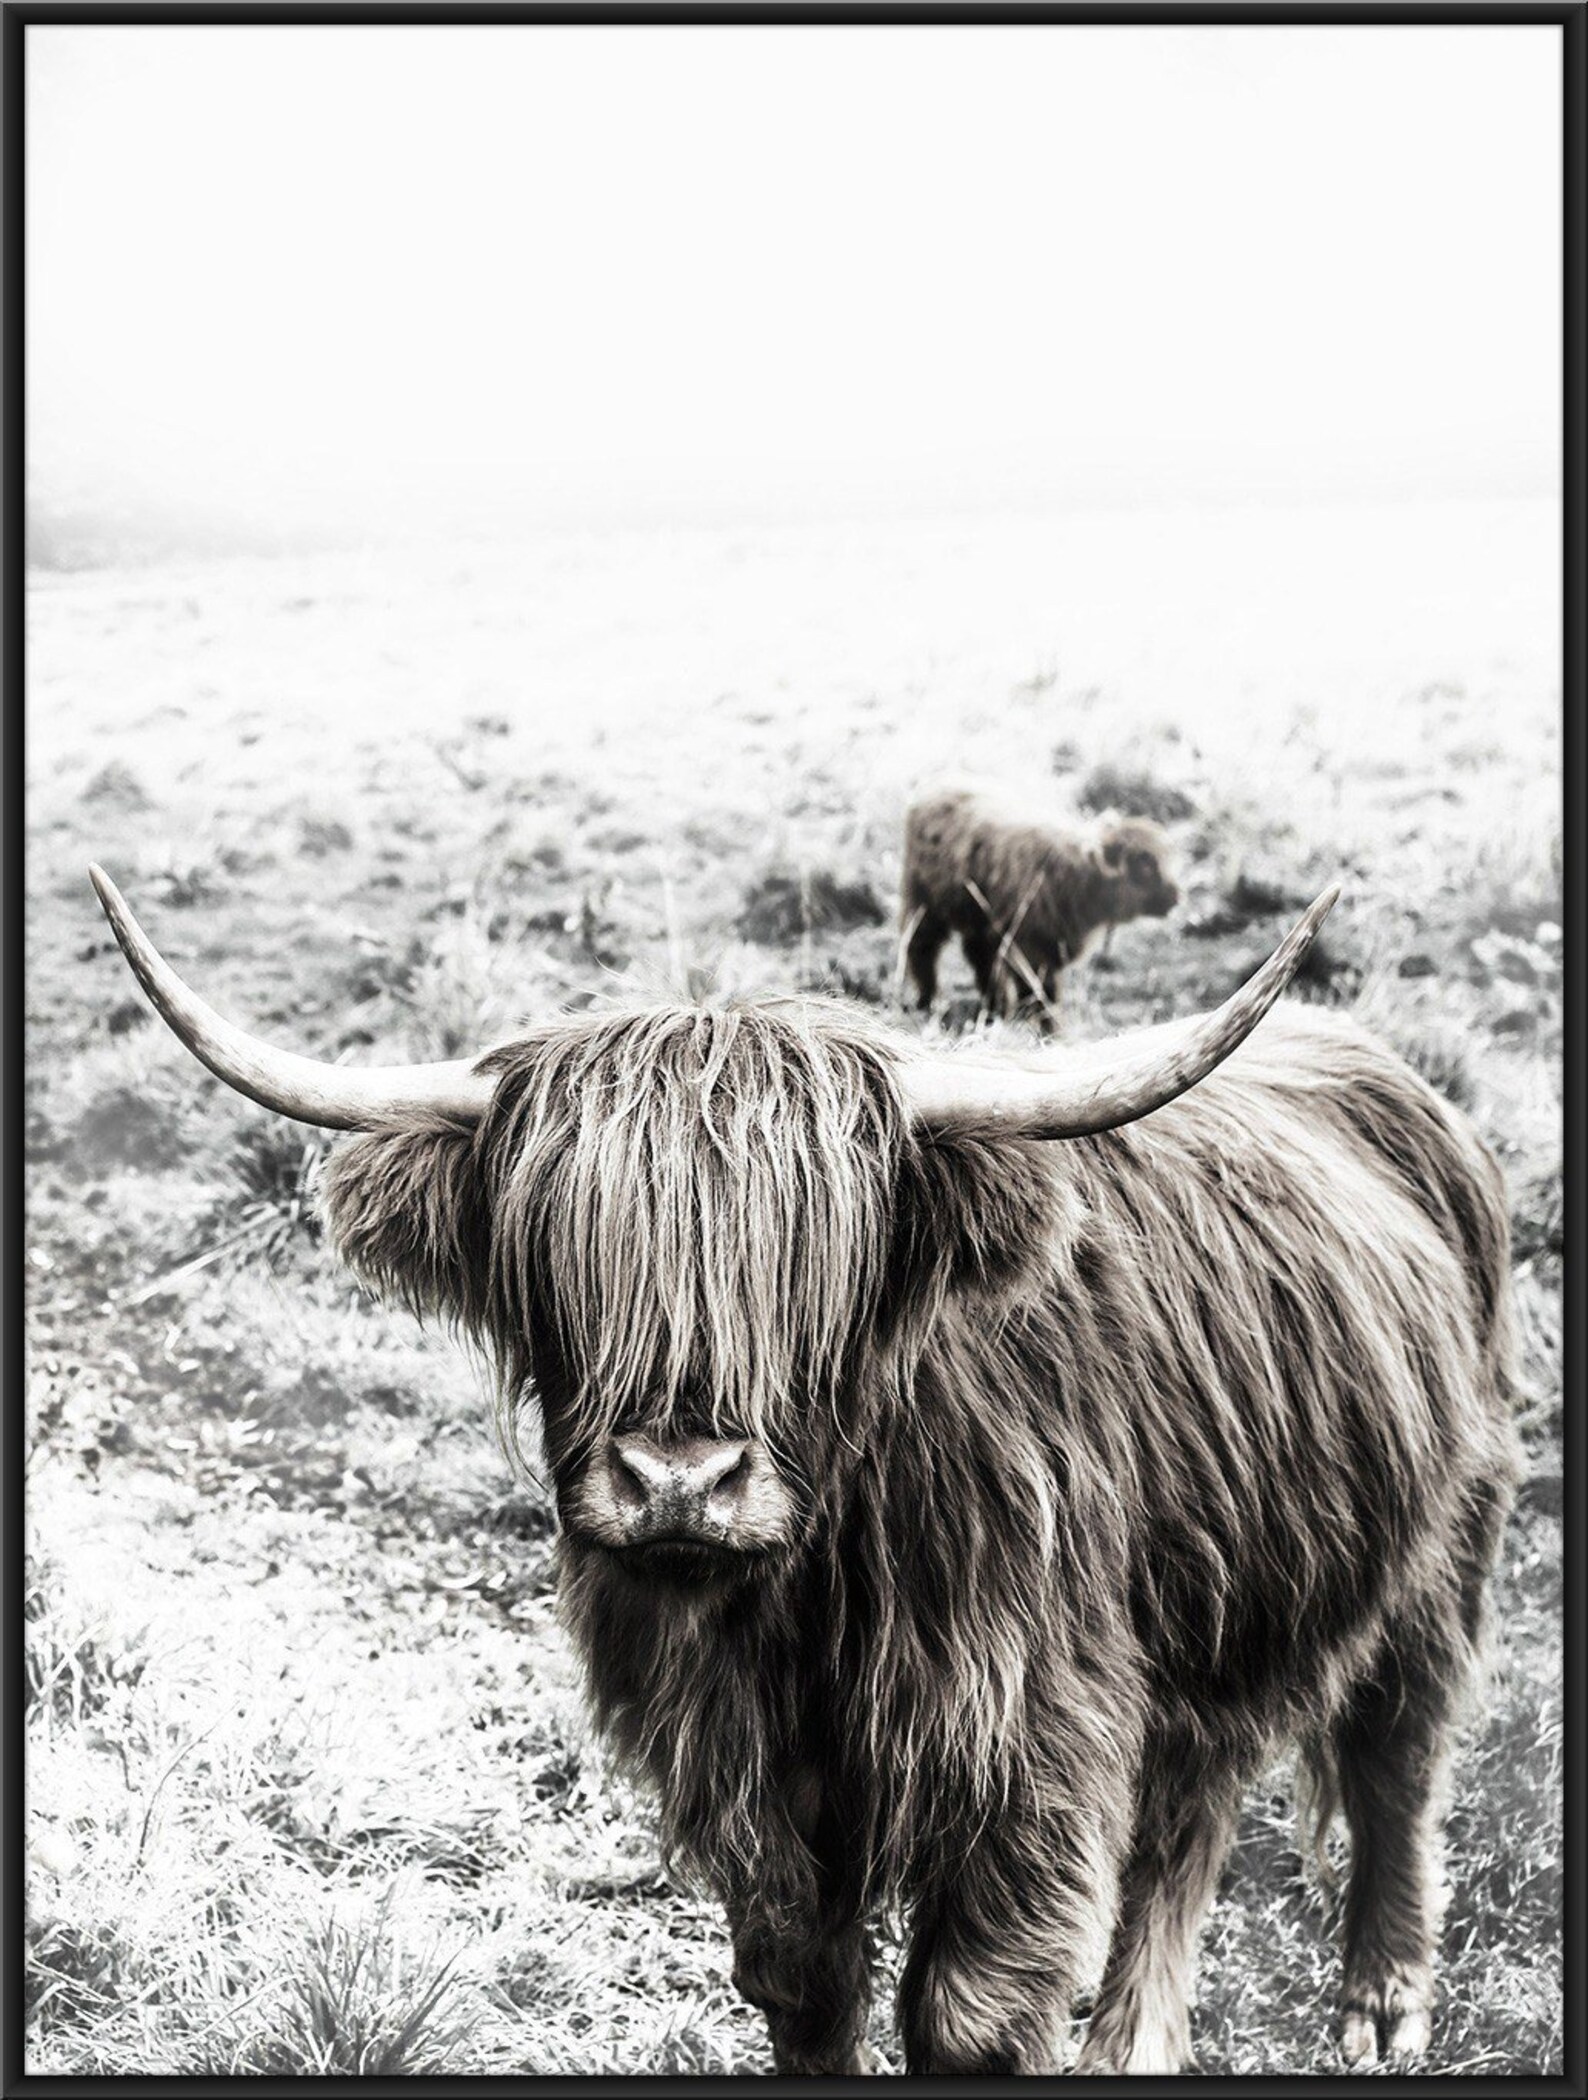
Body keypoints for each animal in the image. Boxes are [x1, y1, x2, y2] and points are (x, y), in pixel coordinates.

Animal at [89, 863, 1517, 2075]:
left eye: (814, 1266)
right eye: (562, 1256)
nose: (678, 1479)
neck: (814, 1593)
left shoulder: (1028, 1741)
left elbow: (970, 2012)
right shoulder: (737, 1757)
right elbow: (799, 1980)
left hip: (1442, 1552)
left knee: (1396, 1752)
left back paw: (1383, 2003)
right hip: (1211, 1609)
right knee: (1190, 1820)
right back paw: (1138, 2045)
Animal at [901, 787, 1180, 1024]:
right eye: (1144, 864)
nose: (1176, 895)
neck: (1078, 875)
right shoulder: (1030, 948)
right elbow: (1041, 994)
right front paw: (1051, 1033)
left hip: (980, 917)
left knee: (979, 956)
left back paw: (996, 1009)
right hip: (923, 900)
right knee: (920, 946)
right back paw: (927, 1002)